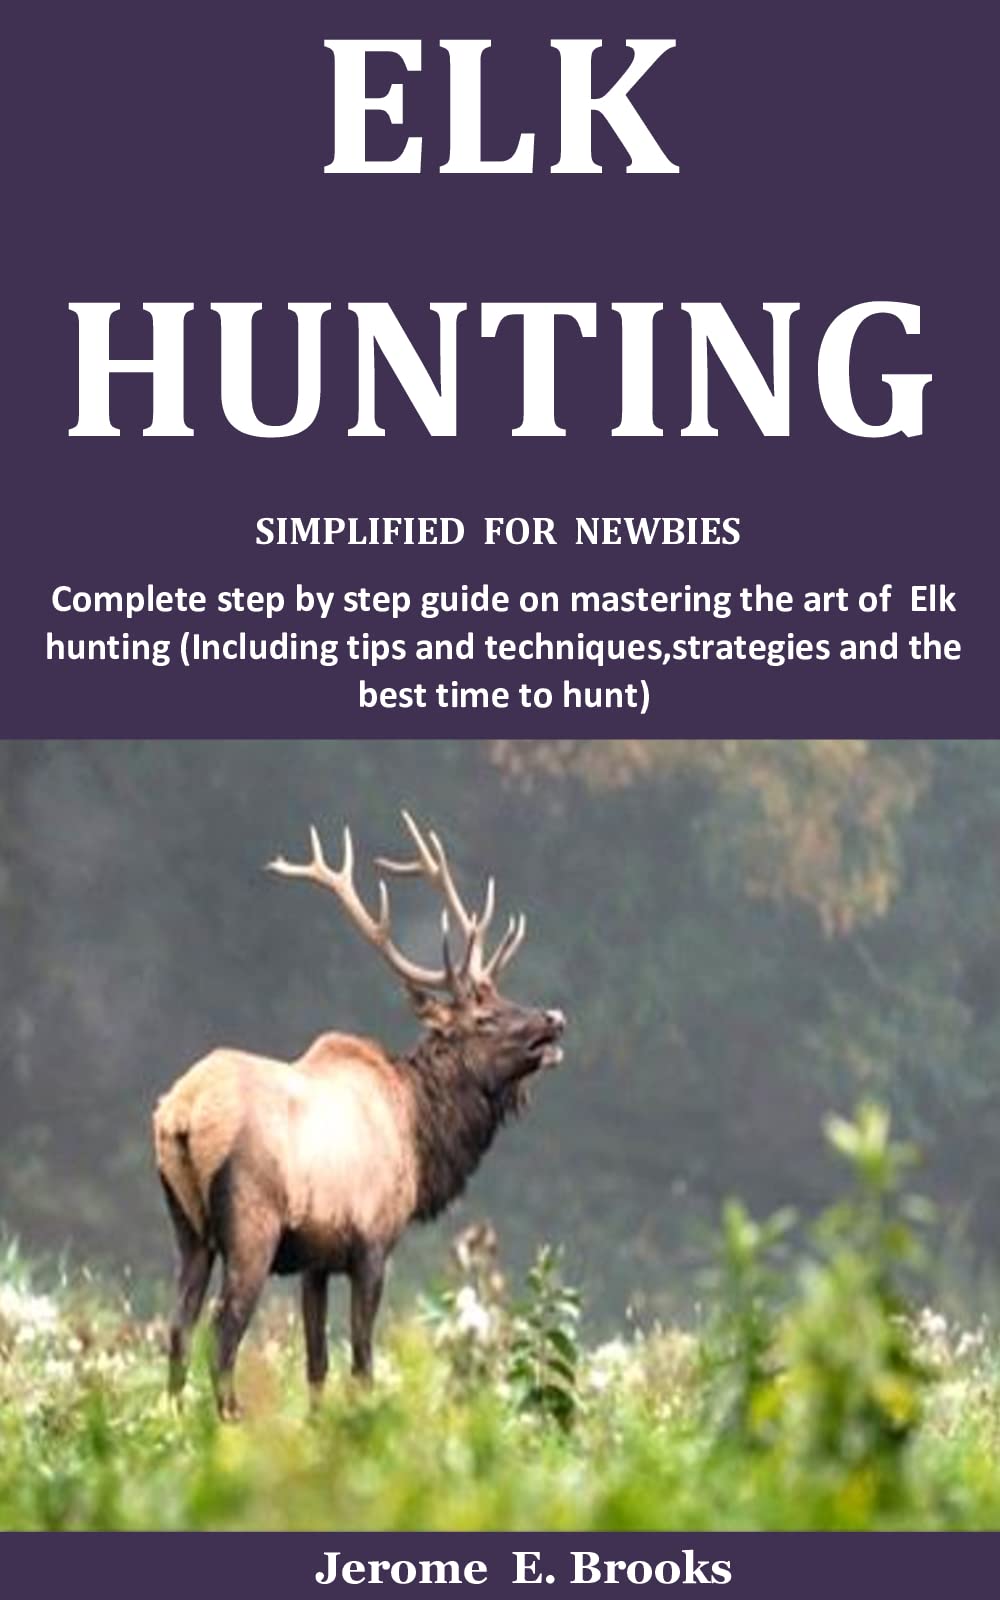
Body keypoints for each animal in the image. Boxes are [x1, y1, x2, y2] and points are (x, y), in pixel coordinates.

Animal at [153, 811, 565, 1419]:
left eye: (504, 997)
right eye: (484, 1017)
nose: (554, 1017)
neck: (420, 1135)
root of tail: (180, 1113)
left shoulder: (315, 1260)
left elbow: (317, 1363)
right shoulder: (370, 1242)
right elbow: (363, 1359)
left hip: (189, 1228)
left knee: (178, 1327)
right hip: (252, 1223)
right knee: (222, 1332)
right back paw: (229, 1422)